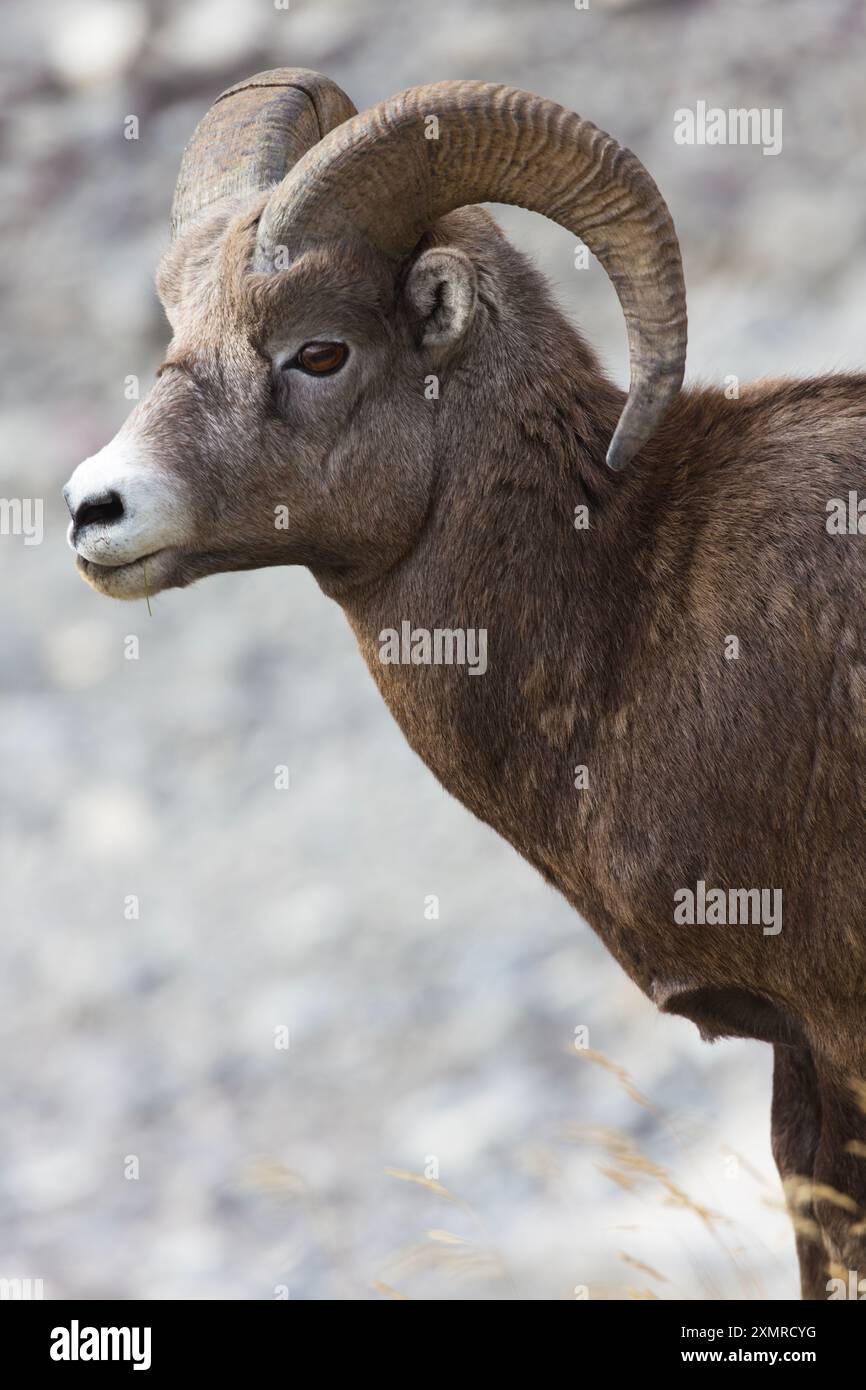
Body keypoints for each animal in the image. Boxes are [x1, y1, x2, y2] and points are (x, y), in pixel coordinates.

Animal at [63, 68, 866, 1299]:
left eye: (320, 353)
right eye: (176, 330)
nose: (92, 509)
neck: (630, 604)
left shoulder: (839, 1029)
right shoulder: (799, 1064)